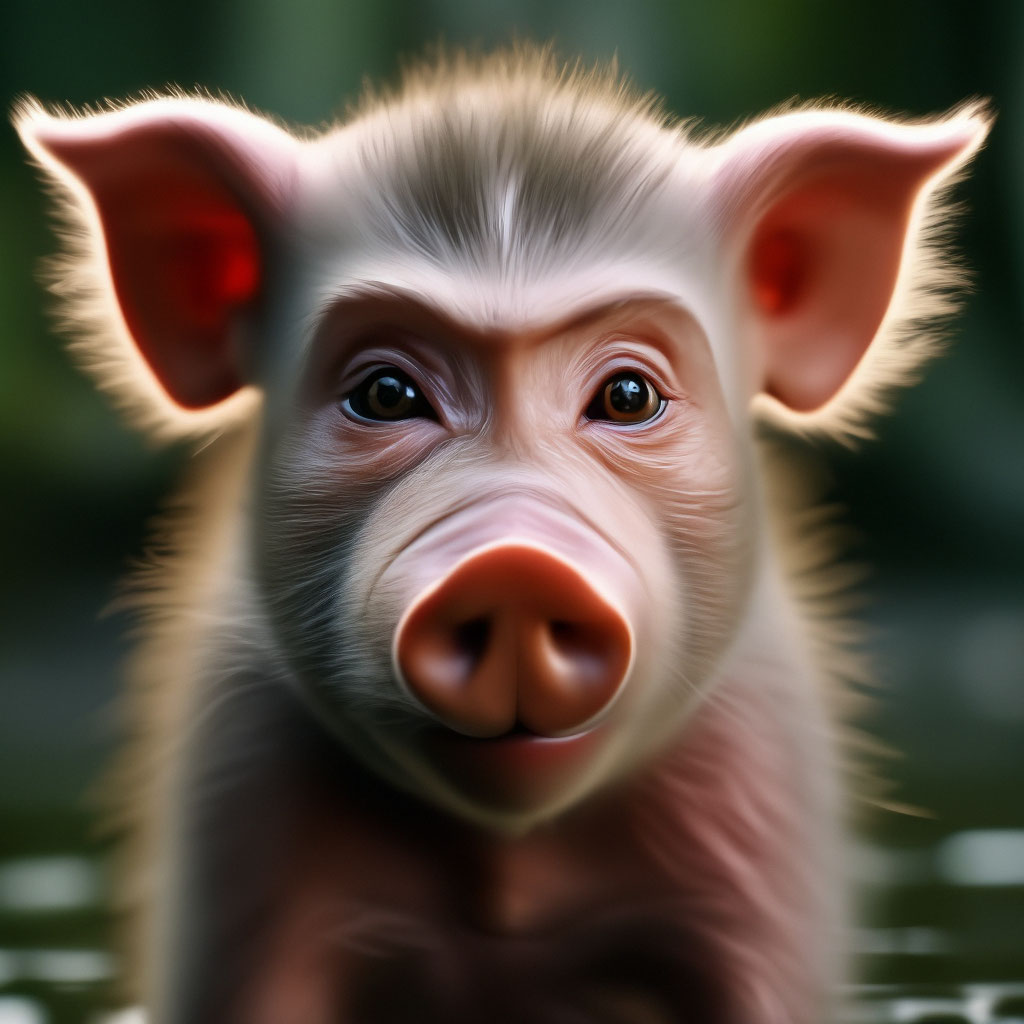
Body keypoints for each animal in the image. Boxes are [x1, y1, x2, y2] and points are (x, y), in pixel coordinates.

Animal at [15, 49, 988, 1024]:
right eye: (385, 394)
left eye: (628, 395)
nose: (515, 563)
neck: (507, 877)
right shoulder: (237, 806)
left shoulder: (760, 812)